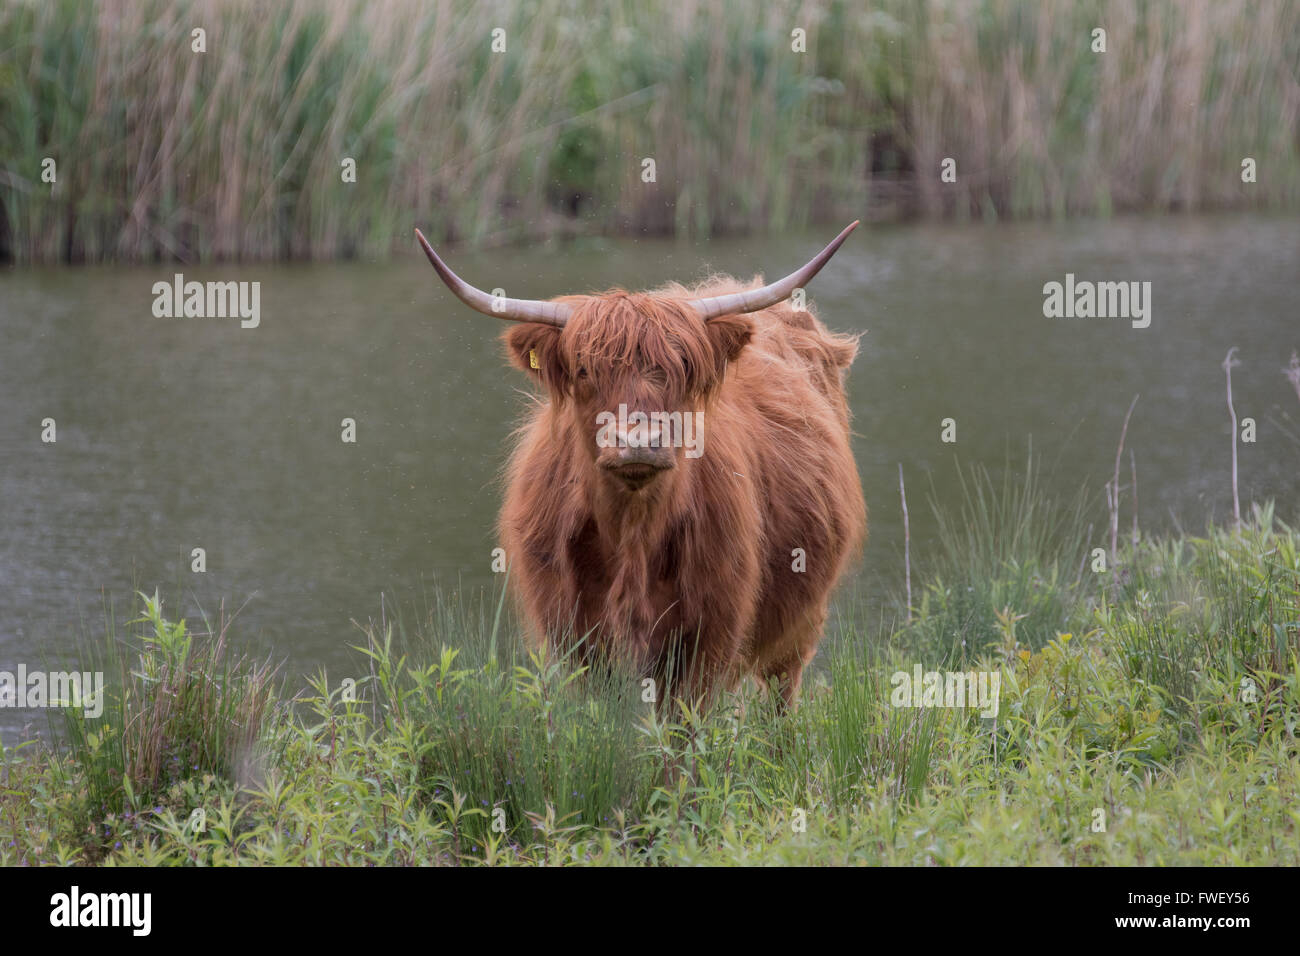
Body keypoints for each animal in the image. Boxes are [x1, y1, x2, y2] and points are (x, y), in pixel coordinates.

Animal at [416, 223, 867, 709]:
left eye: (682, 364)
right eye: (583, 369)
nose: (638, 441)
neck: (632, 533)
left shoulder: (708, 633)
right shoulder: (574, 631)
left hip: (802, 621)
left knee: (781, 694)